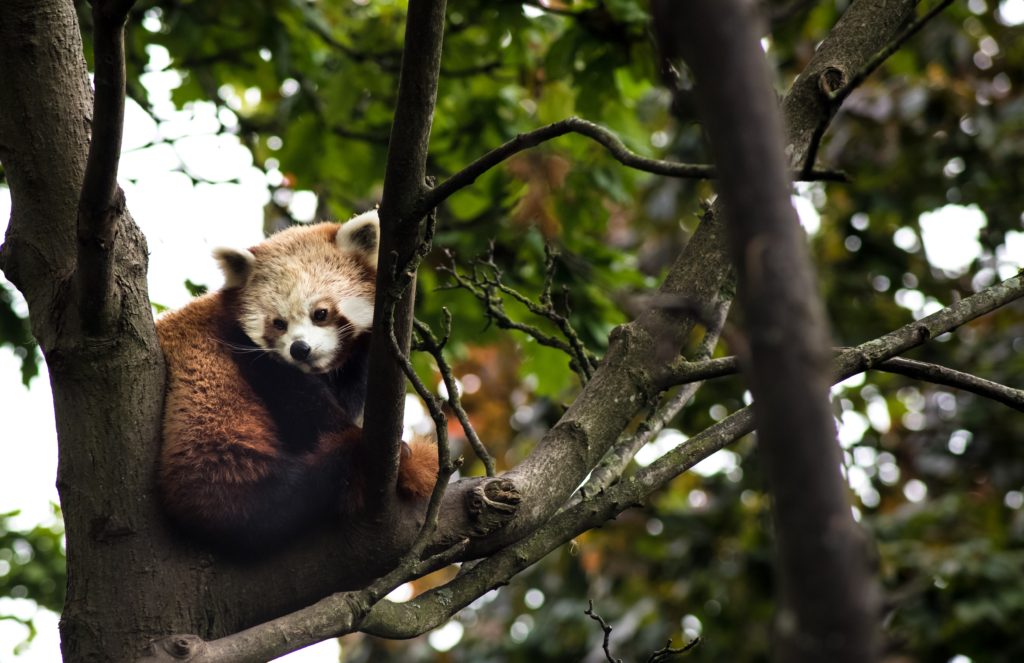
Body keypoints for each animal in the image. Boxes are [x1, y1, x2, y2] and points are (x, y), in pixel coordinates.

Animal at [155, 211, 437, 554]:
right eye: (278, 323)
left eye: (321, 313)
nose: (299, 349)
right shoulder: (247, 353)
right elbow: (305, 406)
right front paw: (358, 438)